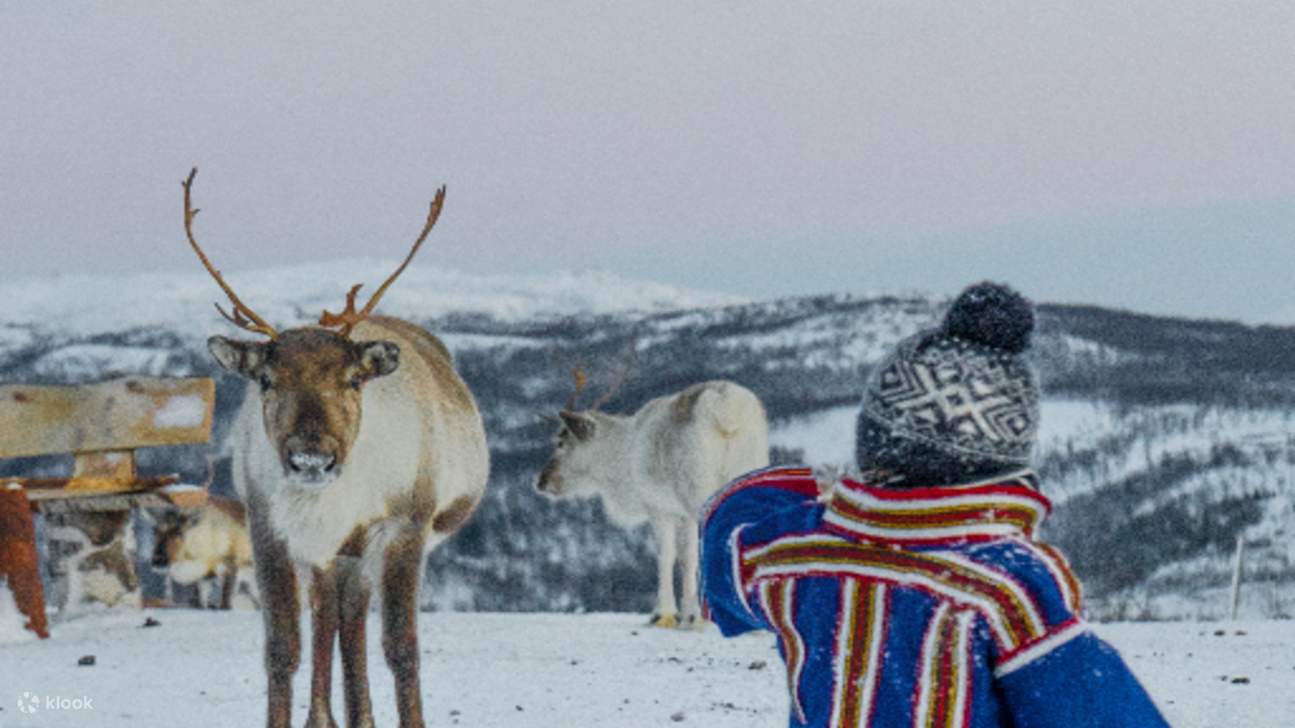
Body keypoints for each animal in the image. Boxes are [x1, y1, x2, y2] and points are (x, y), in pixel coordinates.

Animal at [179, 169, 489, 728]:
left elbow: (401, 648)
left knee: (351, 620)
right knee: (334, 620)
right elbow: (283, 649)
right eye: (266, 379)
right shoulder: (269, 530)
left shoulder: (404, 526)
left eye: (353, 380)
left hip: (363, 551)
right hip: (332, 556)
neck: (328, 504)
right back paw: (331, 715)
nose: (312, 458)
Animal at [535, 367, 770, 629]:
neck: (622, 456)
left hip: (698, 488)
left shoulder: (658, 507)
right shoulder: (680, 512)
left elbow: (667, 556)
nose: (541, 481)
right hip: (749, 471)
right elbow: (686, 558)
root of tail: (728, 409)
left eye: (561, 441)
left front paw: (666, 614)